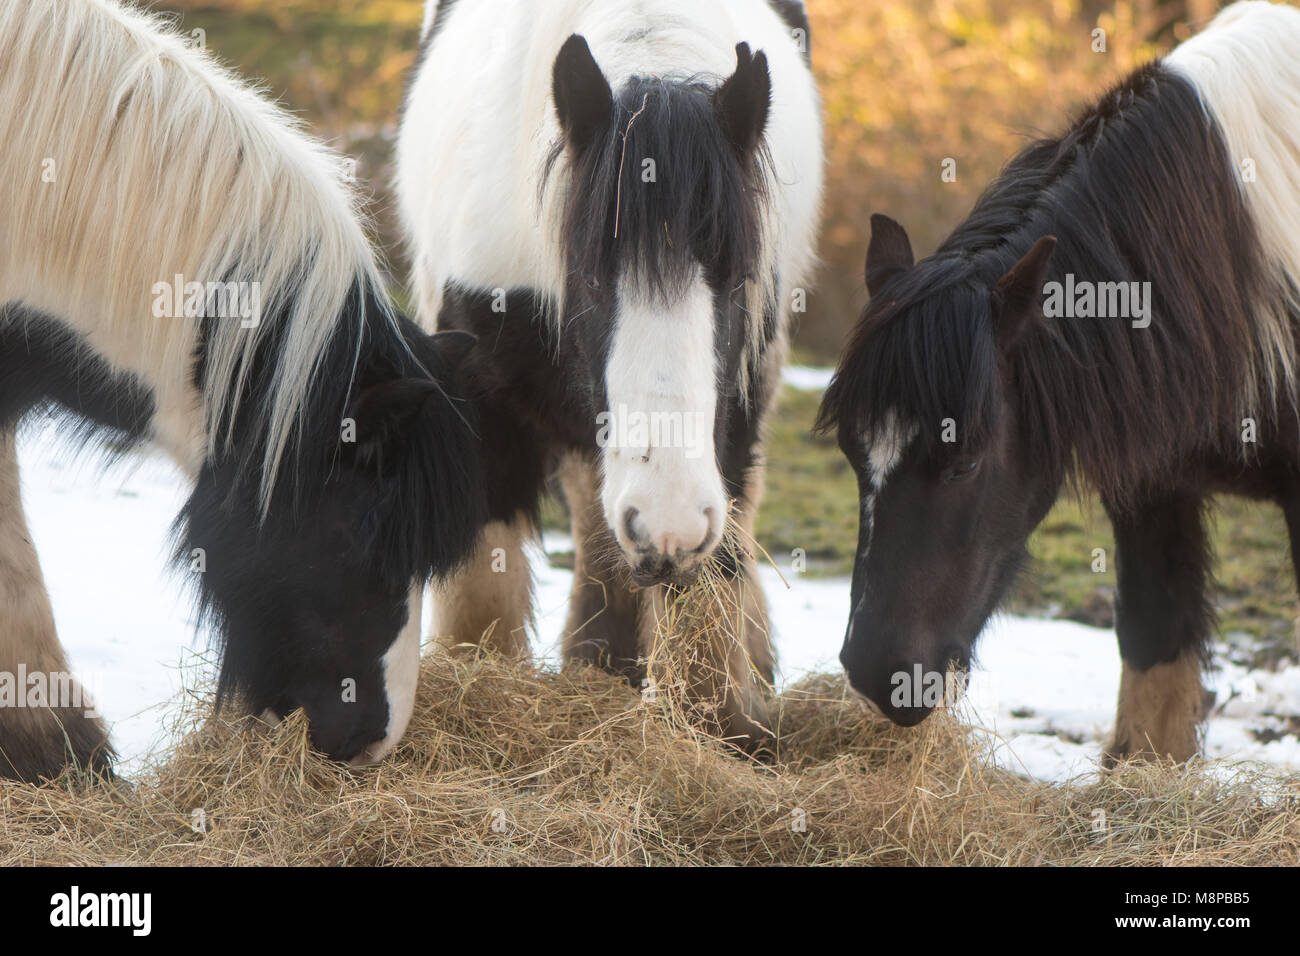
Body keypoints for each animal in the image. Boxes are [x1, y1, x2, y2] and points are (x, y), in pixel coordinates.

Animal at [396, 0, 822, 750]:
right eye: (591, 277)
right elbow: (482, 605)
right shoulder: (481, 399)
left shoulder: (734, 419)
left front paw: (724, 730)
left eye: (736, 275)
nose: (667, 523)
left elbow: (710, 583)